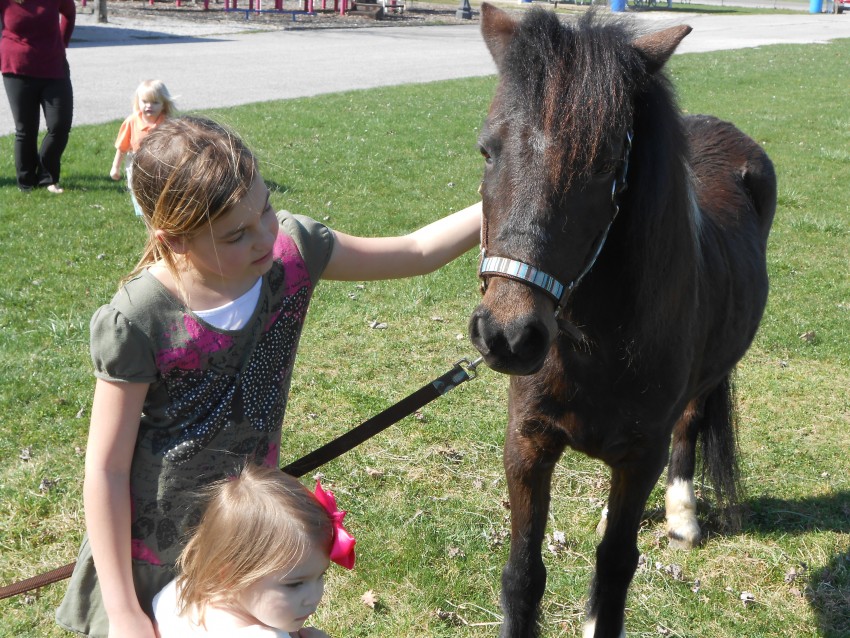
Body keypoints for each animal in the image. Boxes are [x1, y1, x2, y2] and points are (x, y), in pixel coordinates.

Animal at [468, 5, 776, 637]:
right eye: (488, 151)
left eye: (609, 167)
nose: (507, 335)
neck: (593, 348)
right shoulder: (527, 443)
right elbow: (523, 574)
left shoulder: (639, 457)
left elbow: (613, 570)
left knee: (690, 425)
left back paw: (682, 518)